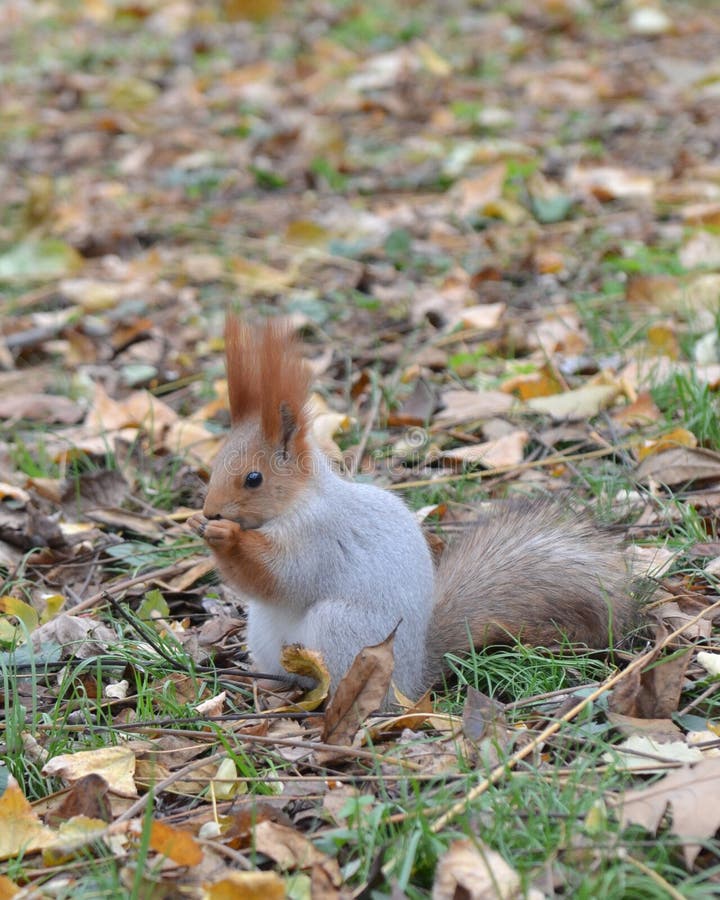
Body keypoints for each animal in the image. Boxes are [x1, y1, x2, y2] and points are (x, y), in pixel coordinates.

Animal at [188, 317, 637, 702]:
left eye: (253, 479)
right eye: (216, 463)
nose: (211, 511)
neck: (298, 502)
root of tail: (411, 678)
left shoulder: (320, 537)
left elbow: (282, 574)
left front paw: (226, 536)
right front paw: (198, 524)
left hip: (342, 630)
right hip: (263, 630)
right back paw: (269, 686)